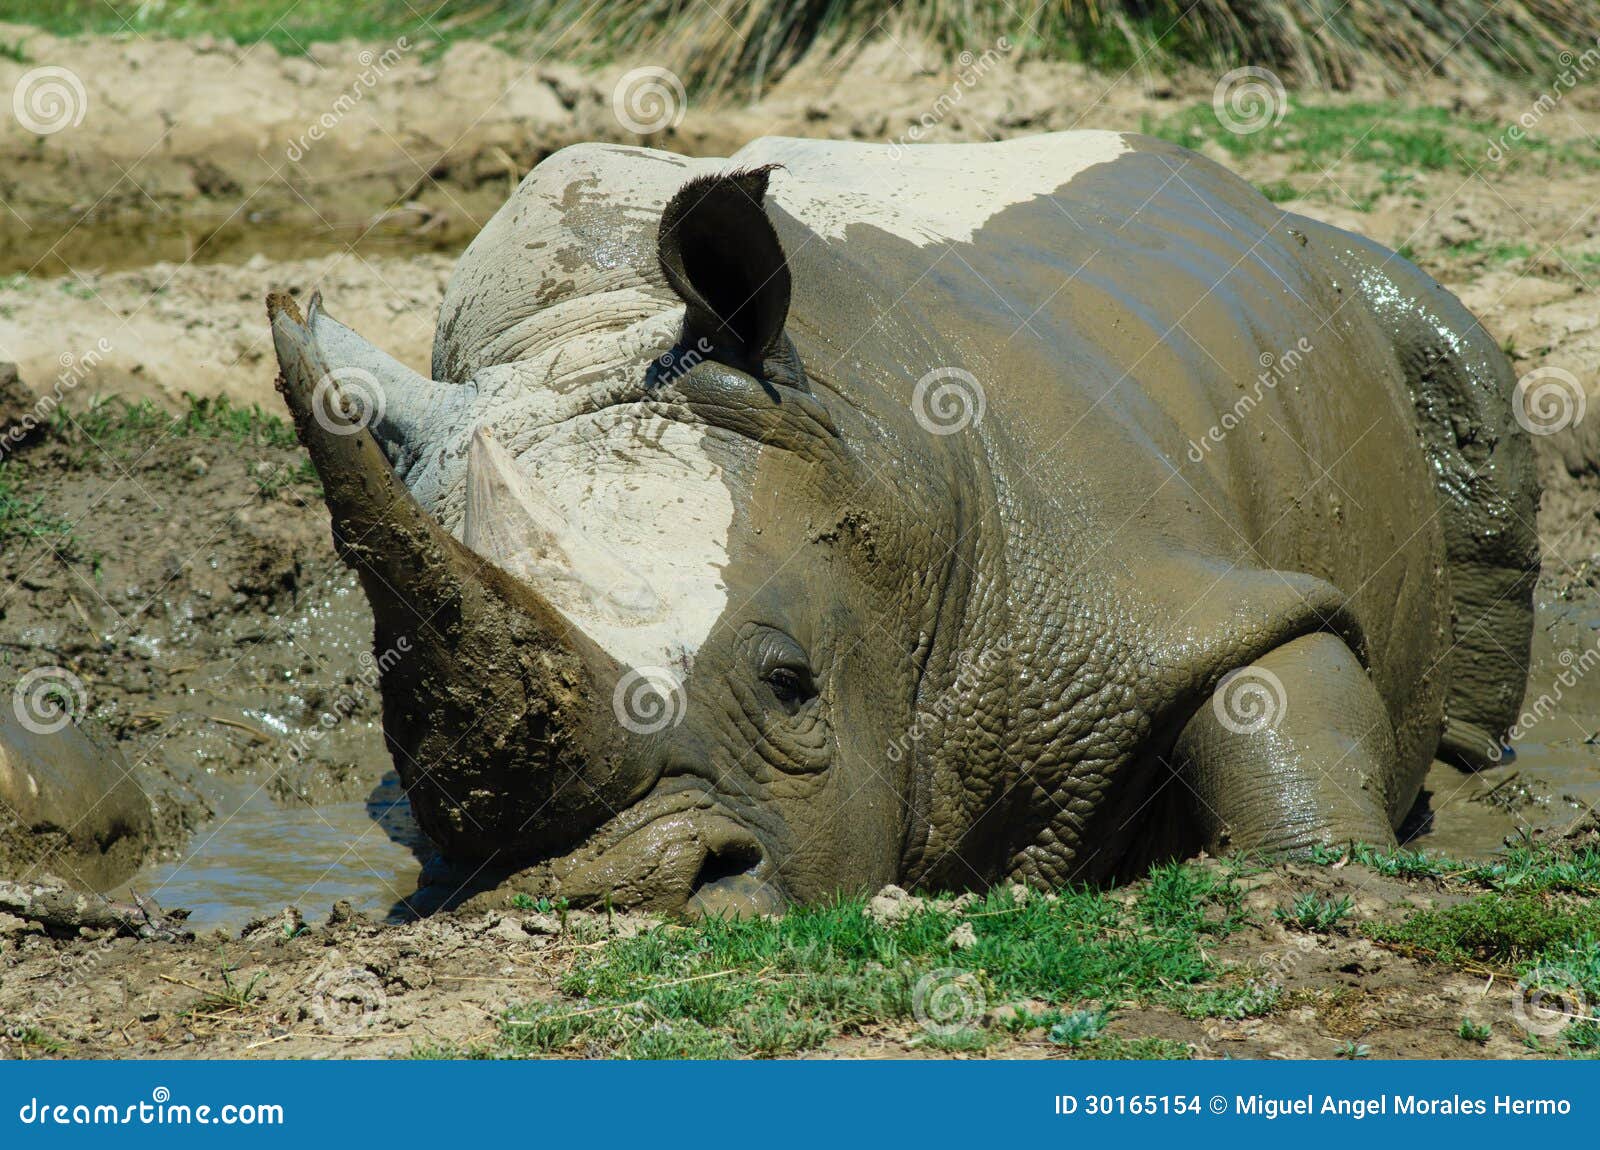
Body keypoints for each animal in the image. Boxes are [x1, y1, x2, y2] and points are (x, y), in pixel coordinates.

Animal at [267, 131, 1538, 916]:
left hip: (1327, 265)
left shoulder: (1121, 575)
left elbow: (1269, 670)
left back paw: (1475, 763)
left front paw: (1327, 868)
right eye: (405, 730)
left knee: (1449, 349)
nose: (620, 893)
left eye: (791, 685)